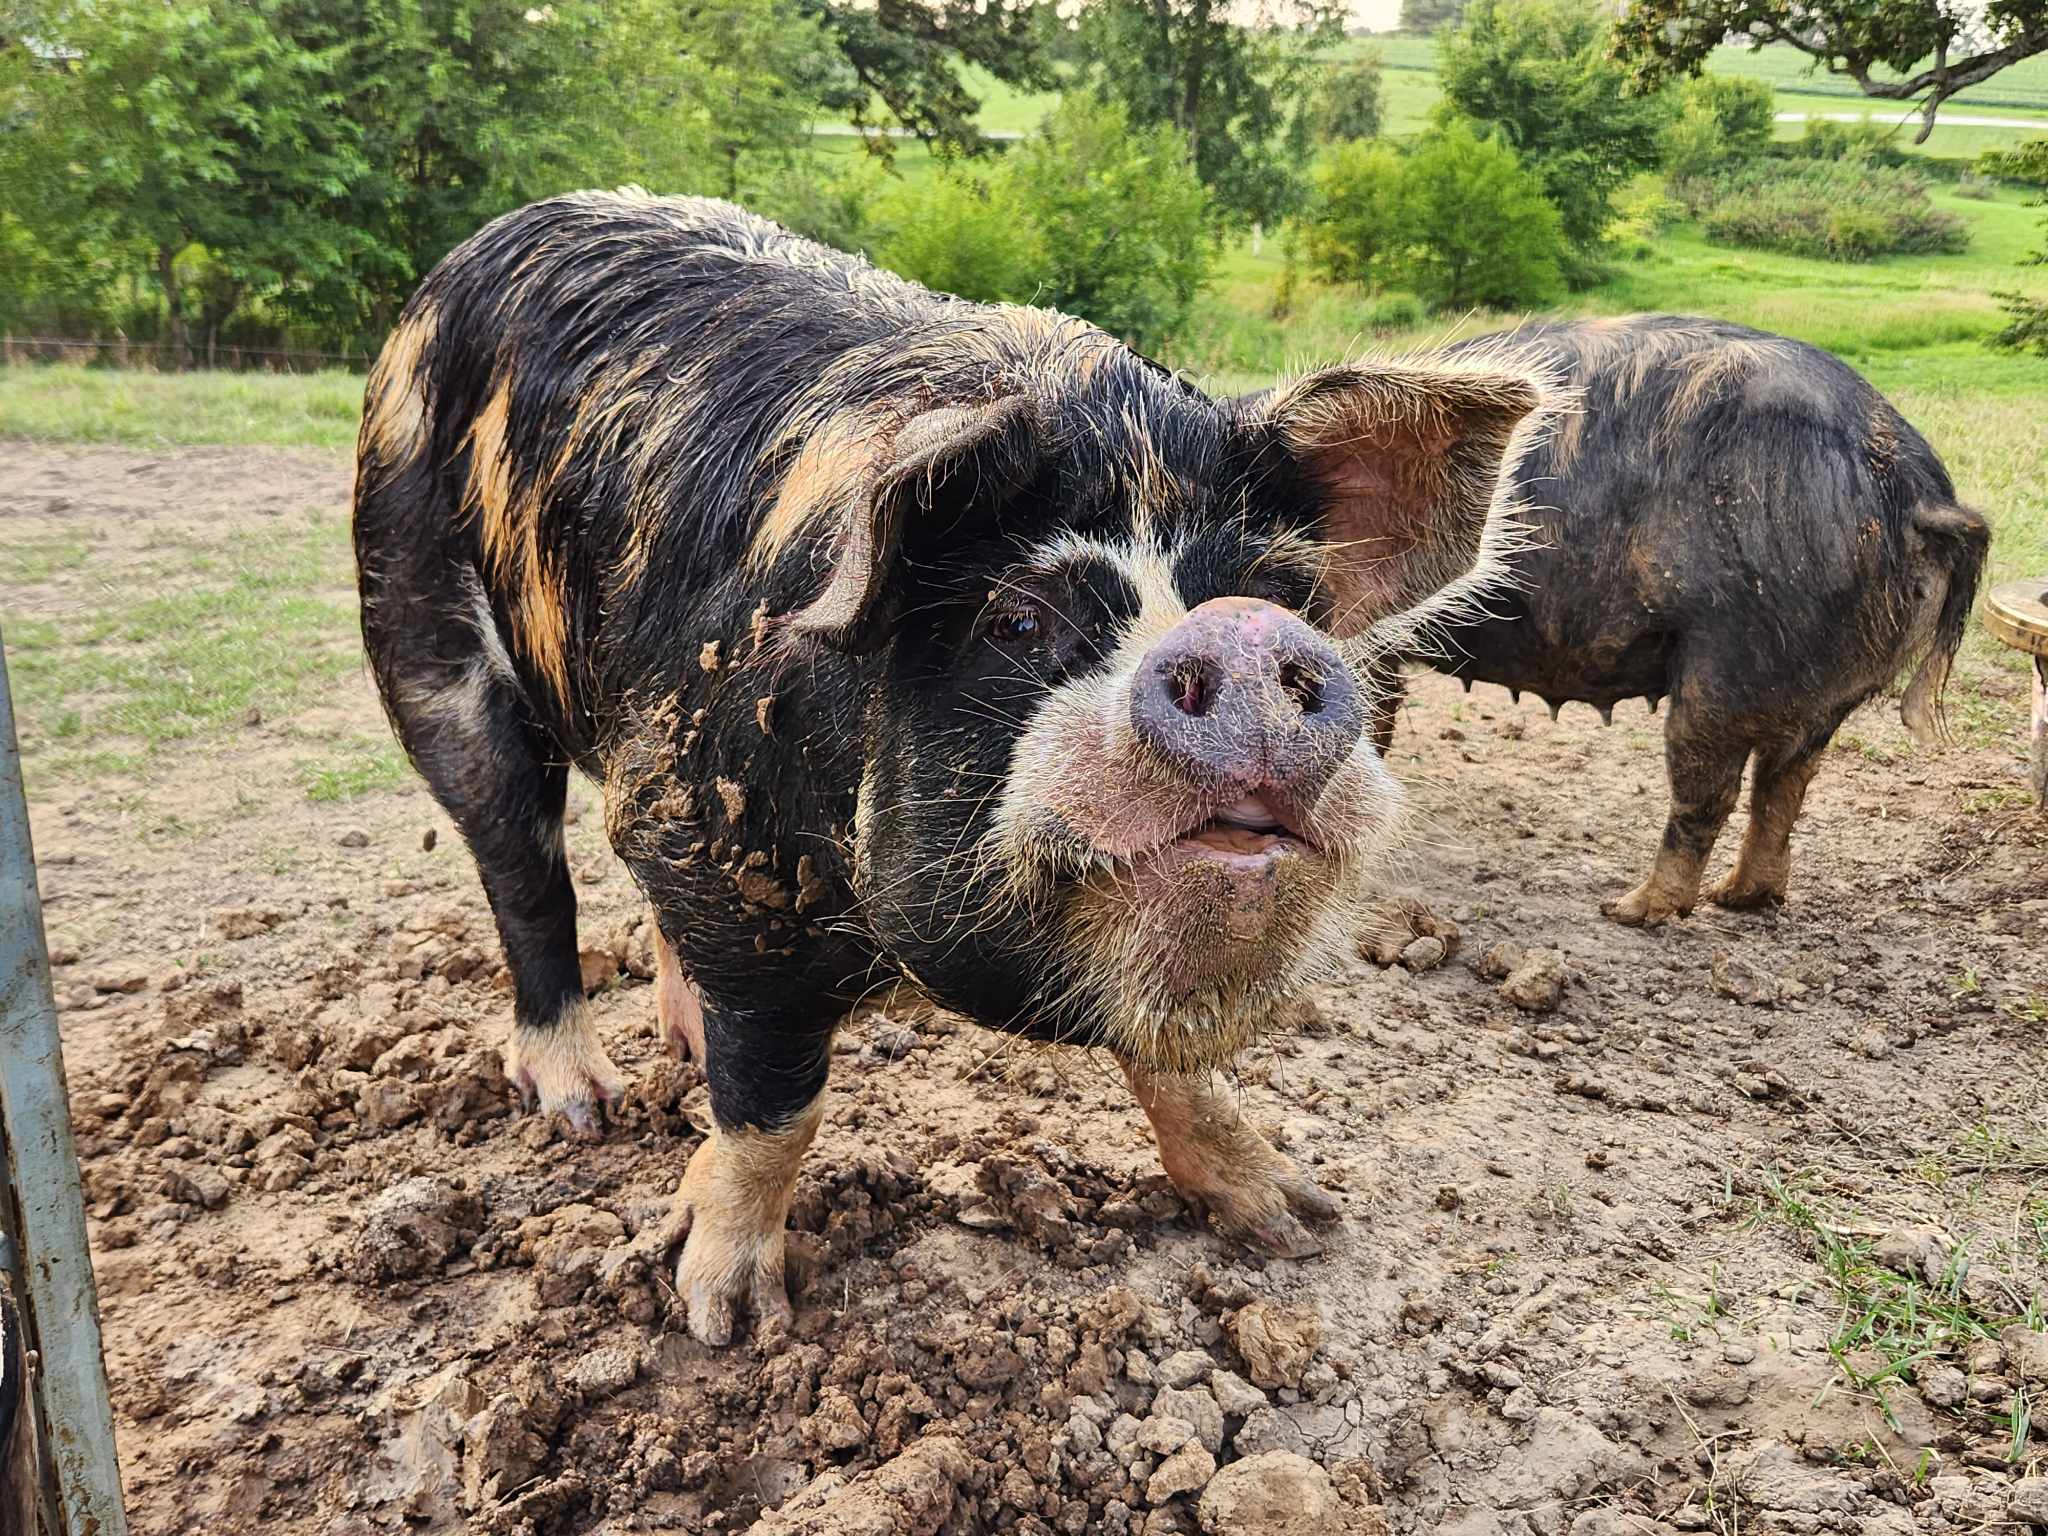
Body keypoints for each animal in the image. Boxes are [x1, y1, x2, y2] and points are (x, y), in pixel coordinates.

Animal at [352, 190, 1559, 1343]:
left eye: (1282, 595)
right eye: (1016, 619)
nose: (1247, 637)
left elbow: (1179, 1067)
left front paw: (1300, 1221)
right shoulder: (716, 847)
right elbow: (775, 1107)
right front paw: (724, 1318)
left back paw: (677, 1048)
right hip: (420, 629)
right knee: (524, 875)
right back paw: (578, 1108)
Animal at [1378, 315, 1991, 925]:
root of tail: (1920, 493)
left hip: (1731, 657)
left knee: (1710, 789)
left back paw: (1630, 908)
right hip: (1827, 682)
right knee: (1783, 784)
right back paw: (1739, 896)